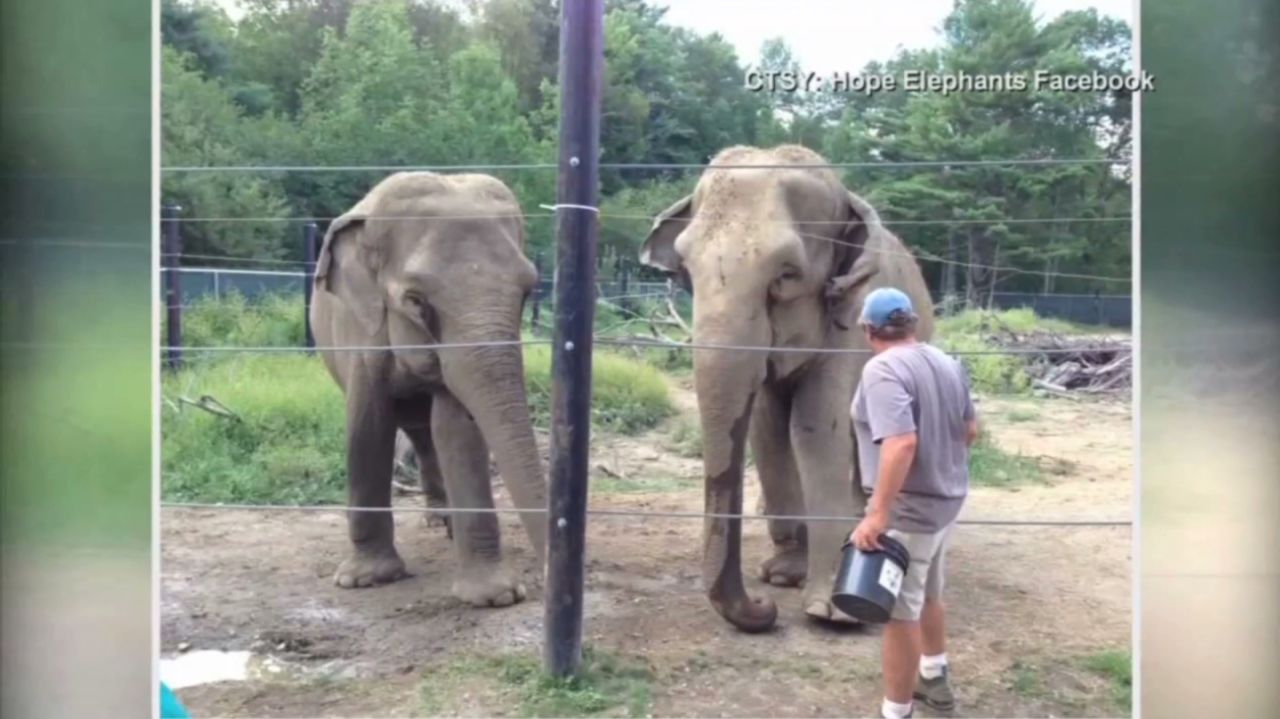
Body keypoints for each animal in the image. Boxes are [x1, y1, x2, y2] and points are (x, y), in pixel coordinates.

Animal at [310, 171, 547, 607]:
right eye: (416, 301)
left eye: (527, 293)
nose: (545, 579)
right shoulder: (361, 327)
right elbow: (368, 424)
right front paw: (366, 580)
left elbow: (457, 427)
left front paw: (494, 598)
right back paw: (438, 522)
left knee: (425, 432)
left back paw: (443, 522)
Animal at [639, 144, 934, 632]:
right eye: (686, 270)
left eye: (787, 274)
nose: (764, 609)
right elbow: (768, 424)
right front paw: (783, 577)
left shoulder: (849, 315)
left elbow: (815, 424)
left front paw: (832, 612)